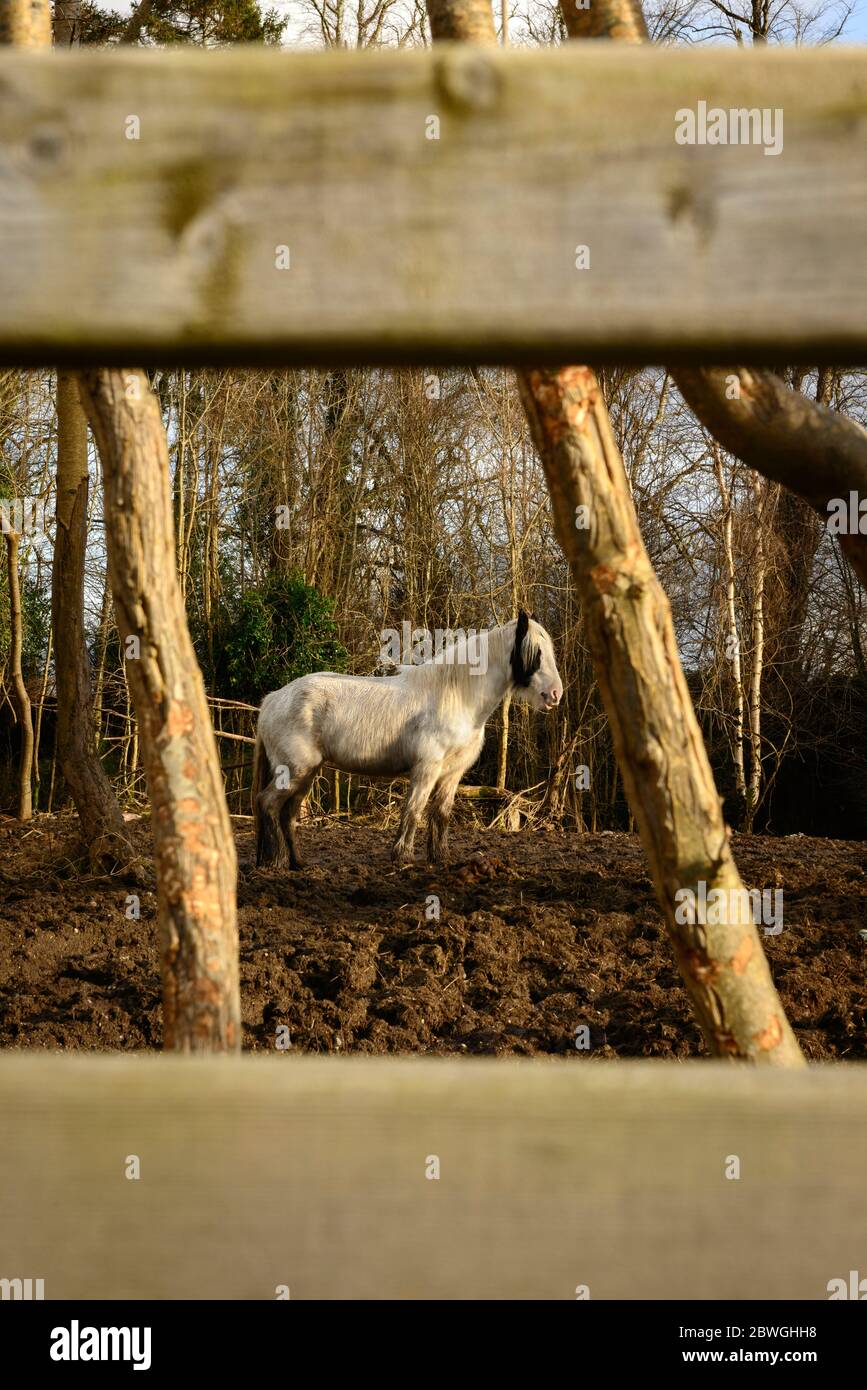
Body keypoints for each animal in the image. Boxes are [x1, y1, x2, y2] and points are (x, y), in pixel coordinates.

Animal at [252, 610, 562, 869]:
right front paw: (403, 857)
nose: (555, 694)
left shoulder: (452, 773)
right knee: (268, 804)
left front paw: (440, 858)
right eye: (536, 654)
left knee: (288, 814)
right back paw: (276, 862)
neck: (457, 696)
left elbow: (441, 813)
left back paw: (298, 863)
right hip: (294, 771)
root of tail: (272, 699)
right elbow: (414, 810)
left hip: (306, 774)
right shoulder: (426, 768)